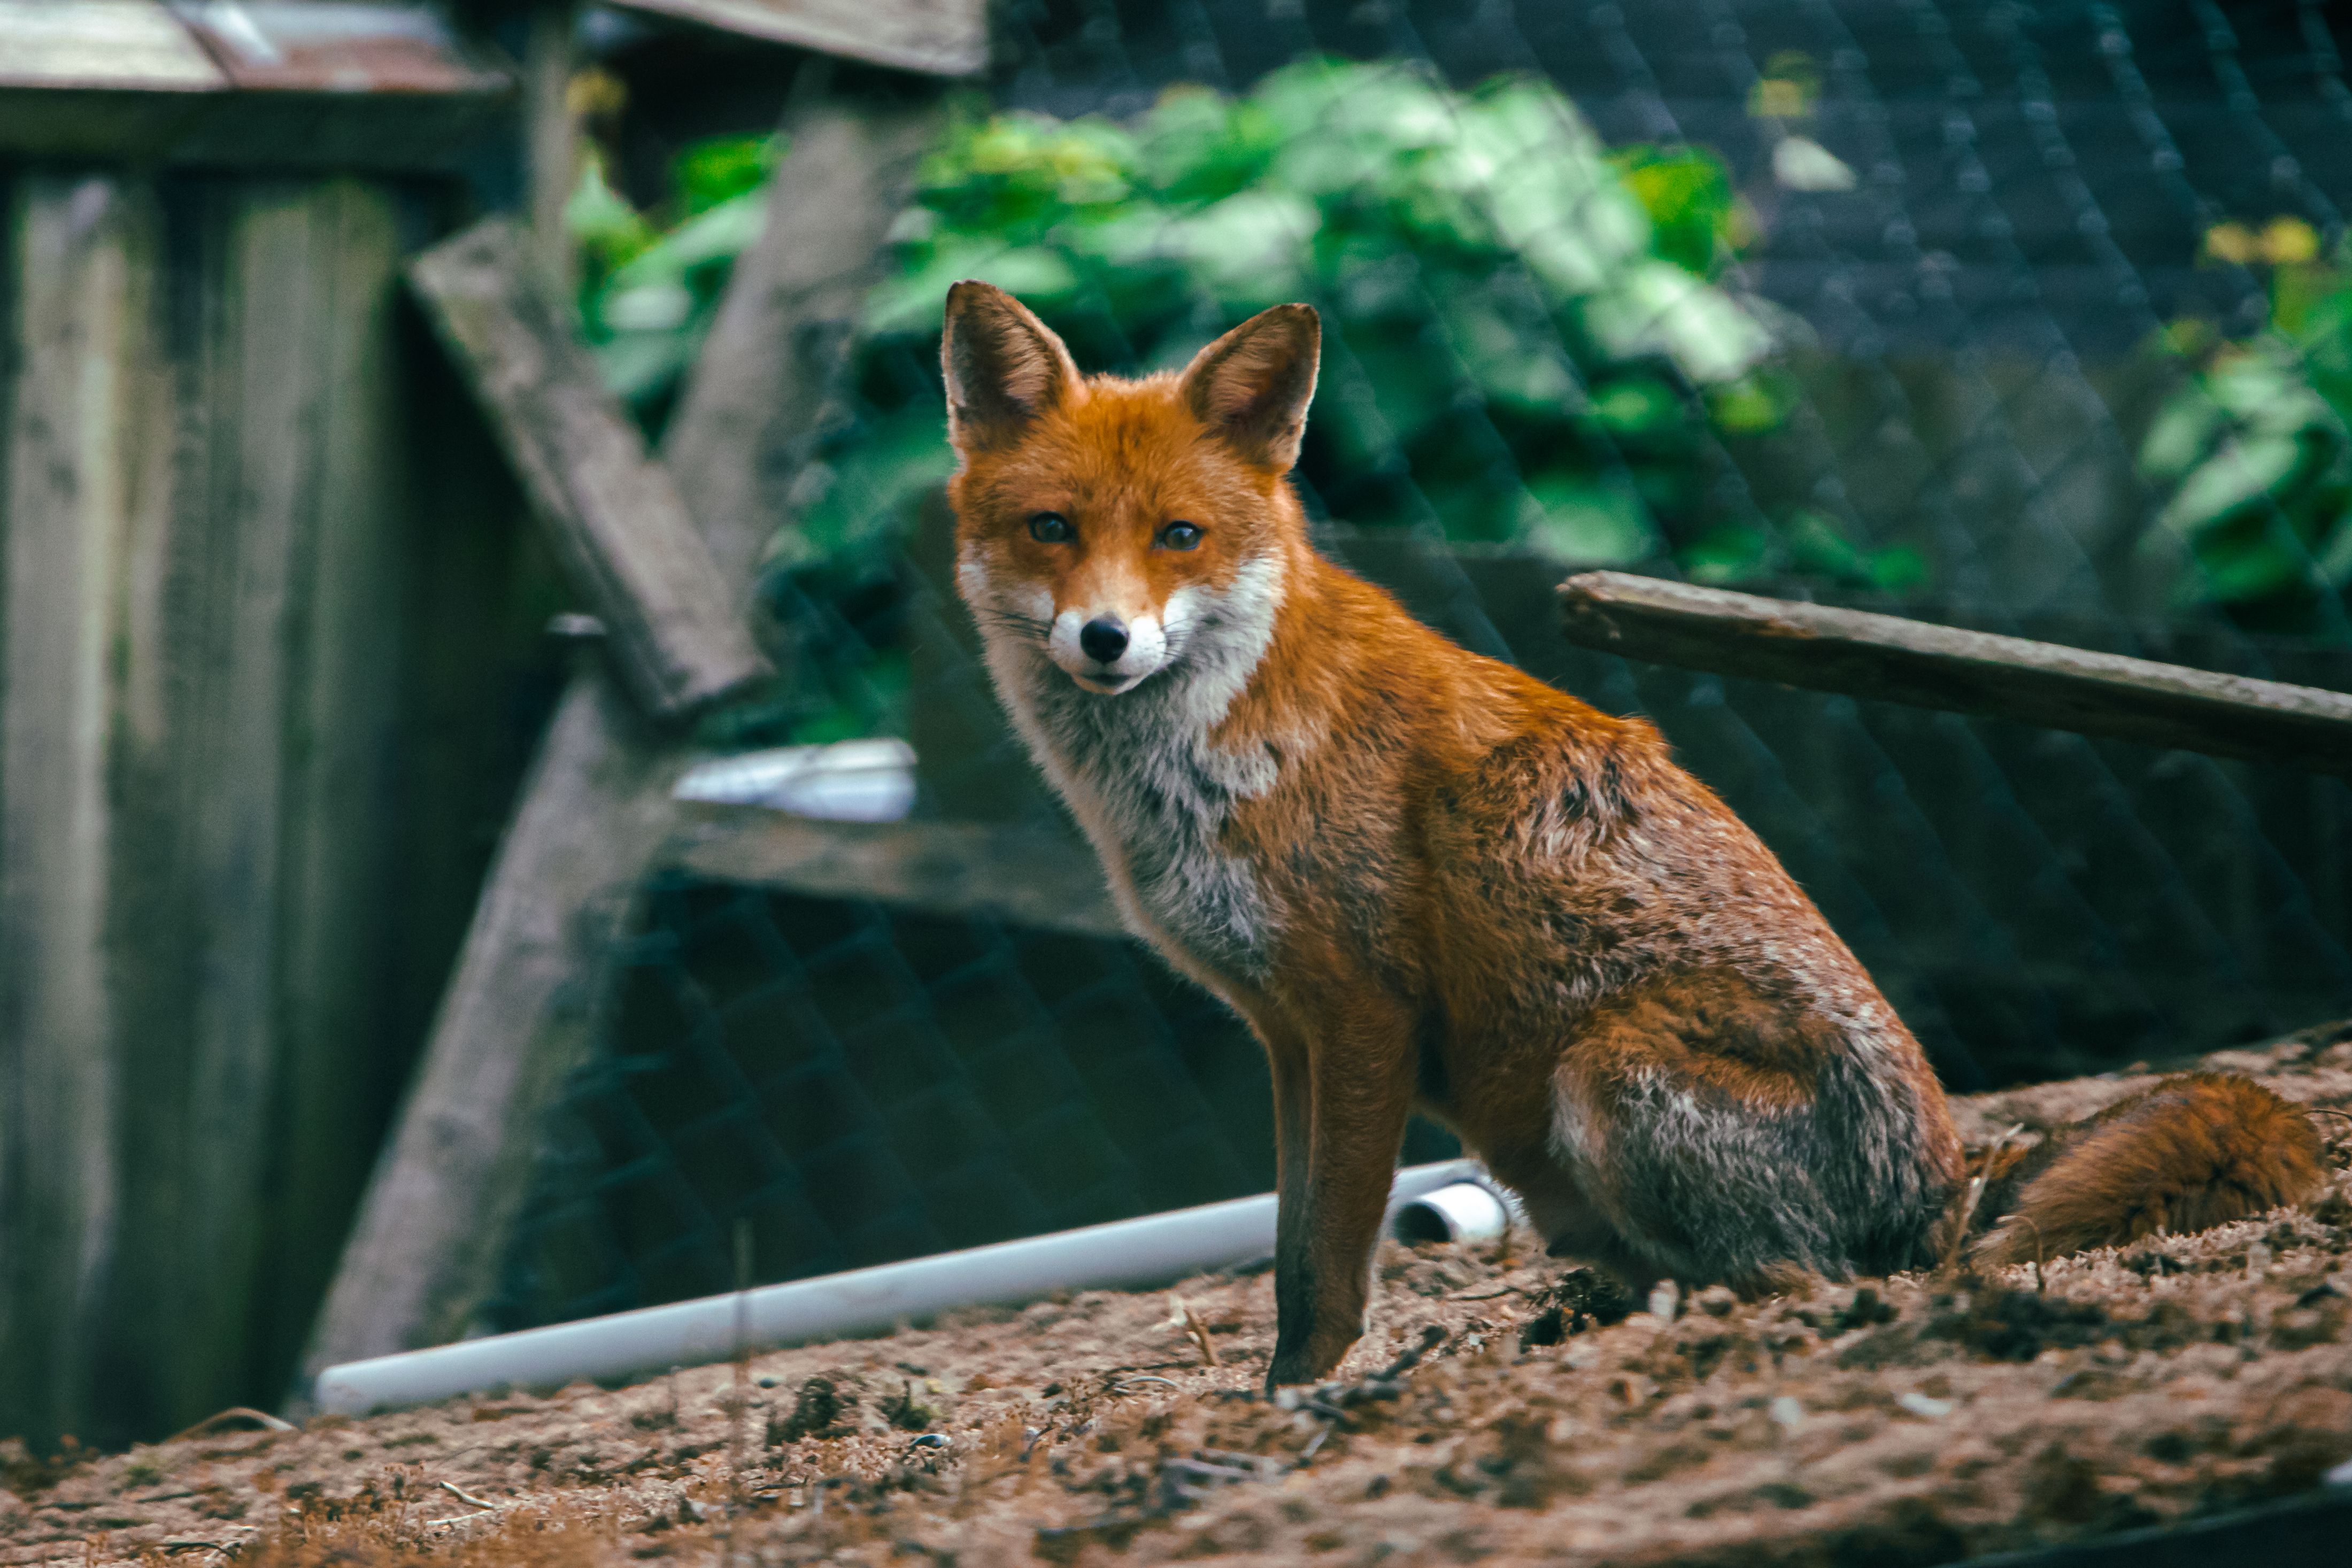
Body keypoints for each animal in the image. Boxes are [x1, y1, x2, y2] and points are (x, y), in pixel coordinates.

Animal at [937, 280, 2329, 1388]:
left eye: (1180, 536)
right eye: (1052, 530)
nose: (1104, 638)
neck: (1210, 754)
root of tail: (1937, 1192)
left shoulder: (1364, 1016)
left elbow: (1326, 1263)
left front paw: (1303, 1403)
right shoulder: (1287, 1035)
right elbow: (1285, 1253)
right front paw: (1287, 1386)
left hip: (1603, 1071)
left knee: (1811, 1287)